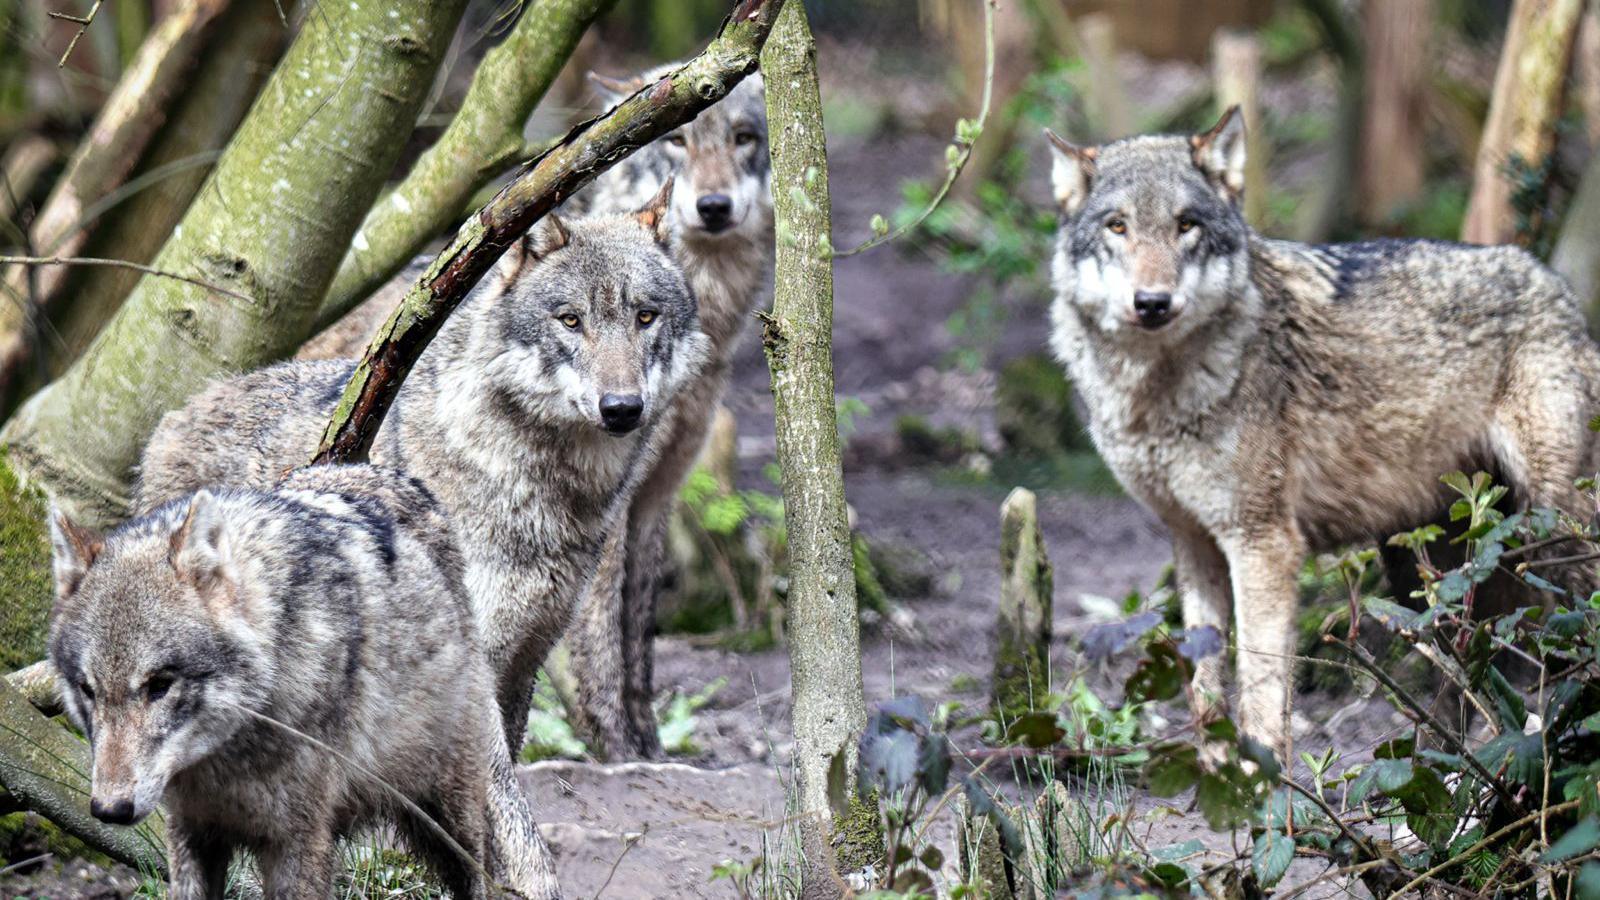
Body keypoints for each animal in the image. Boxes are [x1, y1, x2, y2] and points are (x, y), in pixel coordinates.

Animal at [49, 465, 560, 899]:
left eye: (159, 684)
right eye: (88, 691)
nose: (109, 810)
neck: (229, 758)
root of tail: (395, 474)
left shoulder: (298, 841)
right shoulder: (191, 832)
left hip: (449, 813)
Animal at [561, 64, 774, 759]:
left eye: (742, 138)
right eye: (677, 142)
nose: (713, 206)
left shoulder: (656, 495)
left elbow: (639, 636)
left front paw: (651, 747)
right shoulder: (602, 509)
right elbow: (599, 640)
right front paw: (617, 754)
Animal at [1044, 107, 1600, 757]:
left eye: (1185, 226)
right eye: (1118, 226)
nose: (1152, 302)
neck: (1158, 393)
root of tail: (1557, 286)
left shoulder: (1263, 543)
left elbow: (1261, 694)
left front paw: (1261, 777)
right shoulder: (1194, 542)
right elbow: (1206, 694)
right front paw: (1212, 776)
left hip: (1553, 528)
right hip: (1425, 568)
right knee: (1469, 675)